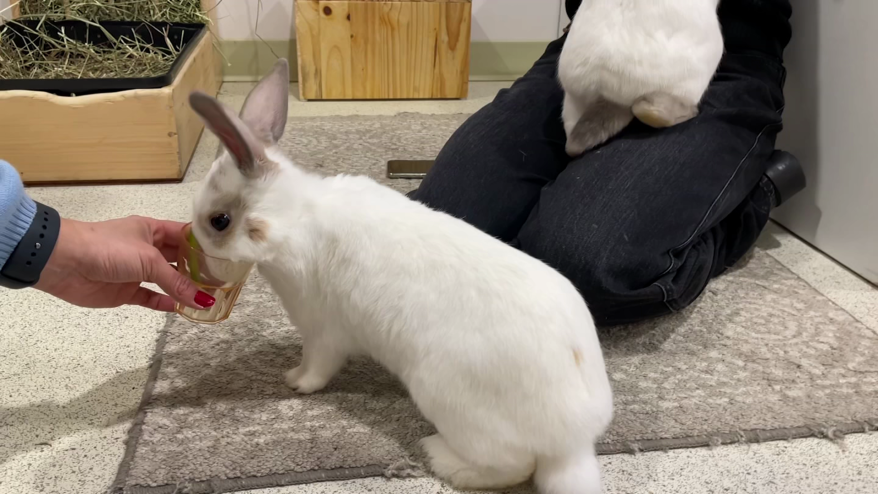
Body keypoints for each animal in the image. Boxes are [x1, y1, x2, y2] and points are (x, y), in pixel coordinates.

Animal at [187, 58, 614, 494]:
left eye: (218, 221)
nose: (201, 252)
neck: (295, 218)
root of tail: (571, 444)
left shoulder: (322, 330)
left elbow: (318, 365)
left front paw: (294, 382)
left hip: (444, 395)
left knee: (509, 466)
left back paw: (437, 454)